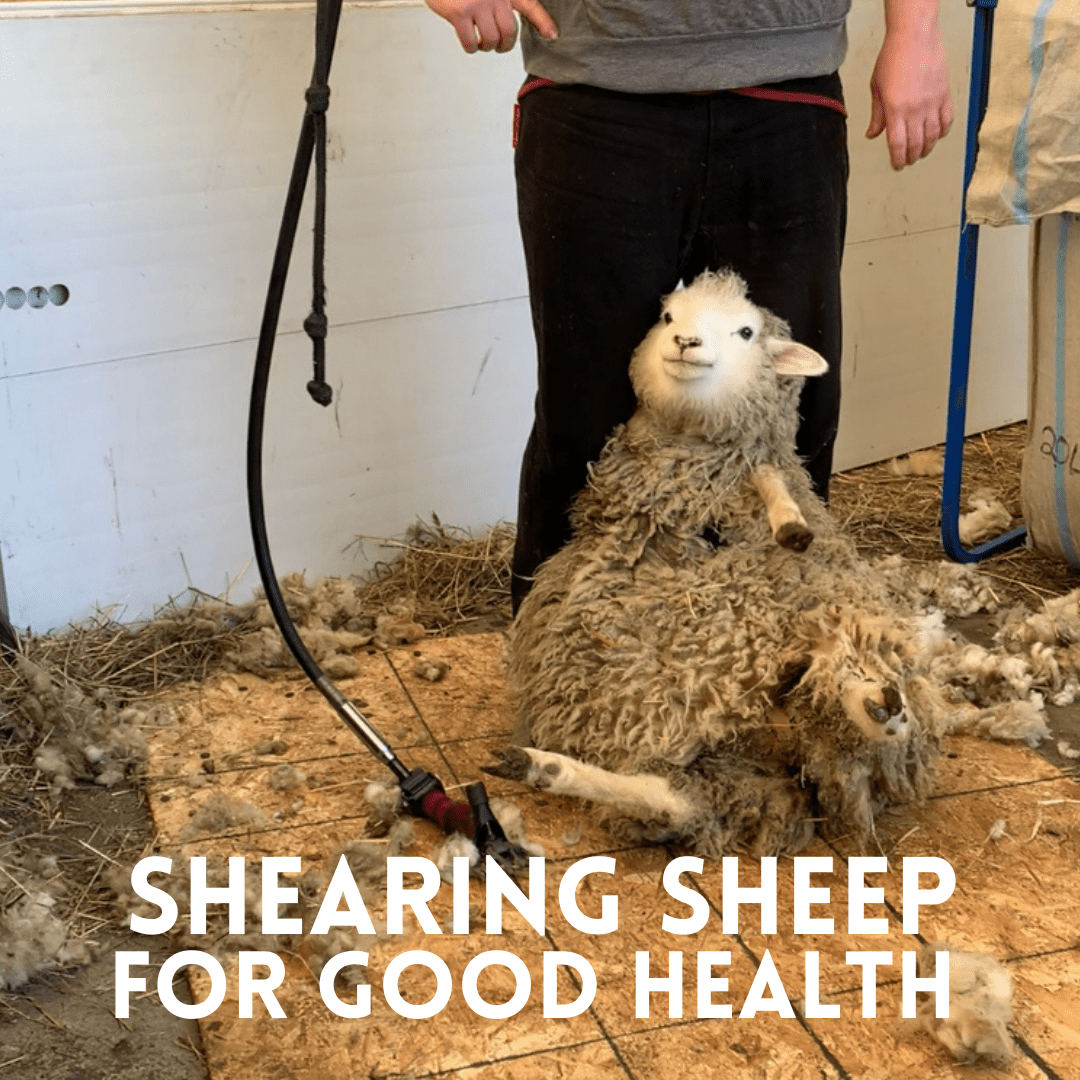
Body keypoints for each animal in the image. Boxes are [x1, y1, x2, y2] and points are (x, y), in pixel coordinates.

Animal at [487, 270, 1045, 856]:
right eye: (667, 316)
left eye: (746, 331)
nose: (685, 342)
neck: (693, 441)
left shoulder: (751, 461)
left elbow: (770, 478)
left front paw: (791, 524)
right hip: (731, 767)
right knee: (676, 799)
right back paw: (542, 768)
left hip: (837, 637)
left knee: (863, 701)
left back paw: (881, 704)